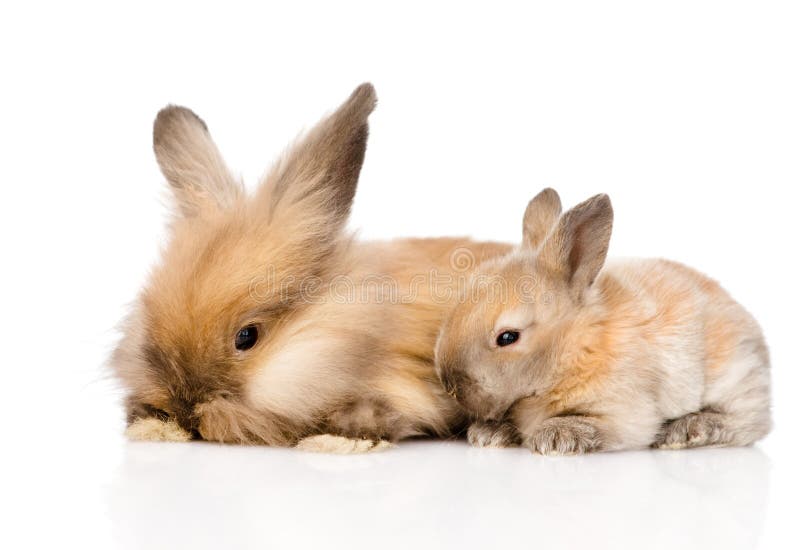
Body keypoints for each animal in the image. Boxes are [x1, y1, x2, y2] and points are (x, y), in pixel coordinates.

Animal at [435, 188, 771, 454]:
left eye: (507, 337)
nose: (449, 385)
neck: (576, 348)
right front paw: (488, 435)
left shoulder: (628, 414)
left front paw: (555, 437)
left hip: (736, 379)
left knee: (750, 423)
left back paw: (687, 431)